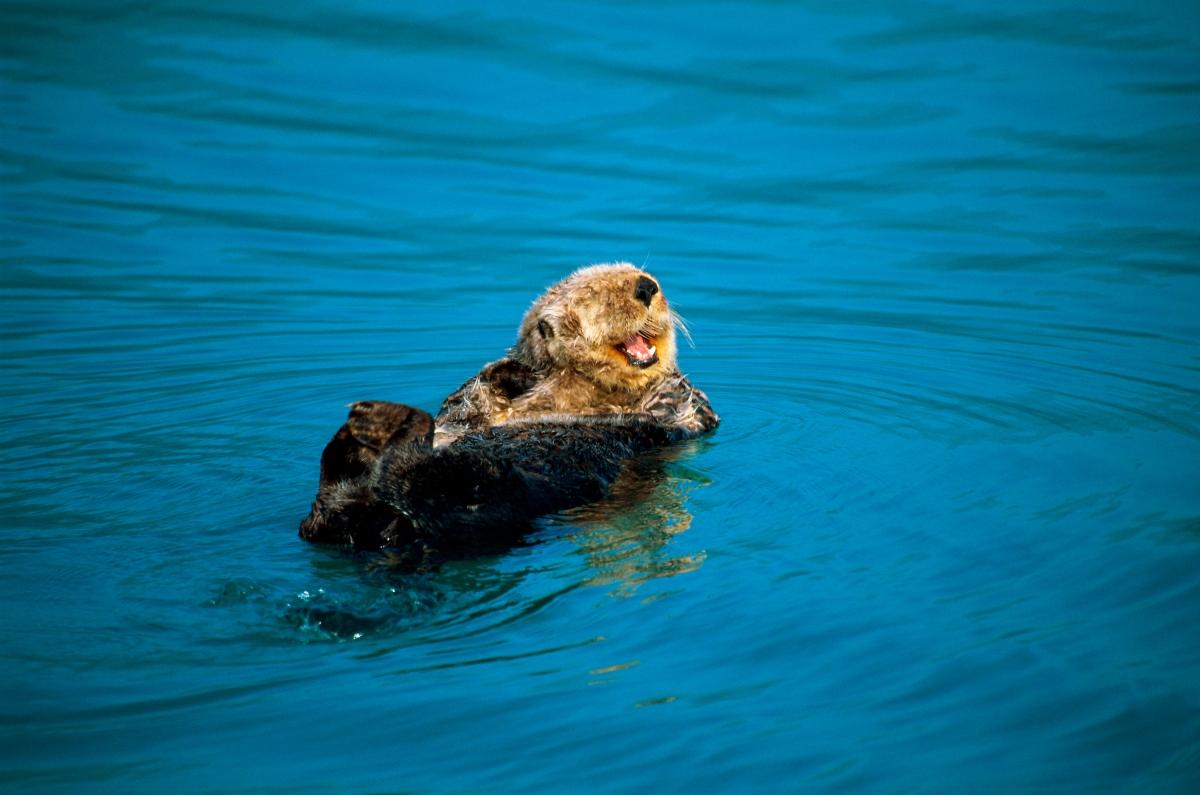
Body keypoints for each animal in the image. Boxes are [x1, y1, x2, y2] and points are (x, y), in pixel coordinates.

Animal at [299, 263, 719, 559]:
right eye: (594, 293)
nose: (646, 286)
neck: (577, 391)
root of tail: (388, 527)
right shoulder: (472, 407)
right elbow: (470, 398)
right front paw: (508, 373)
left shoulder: (687, 413)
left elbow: (683, 406)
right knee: (325, 507)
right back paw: (363, 434)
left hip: (493, 488)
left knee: (415, 474)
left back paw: (385, 422)